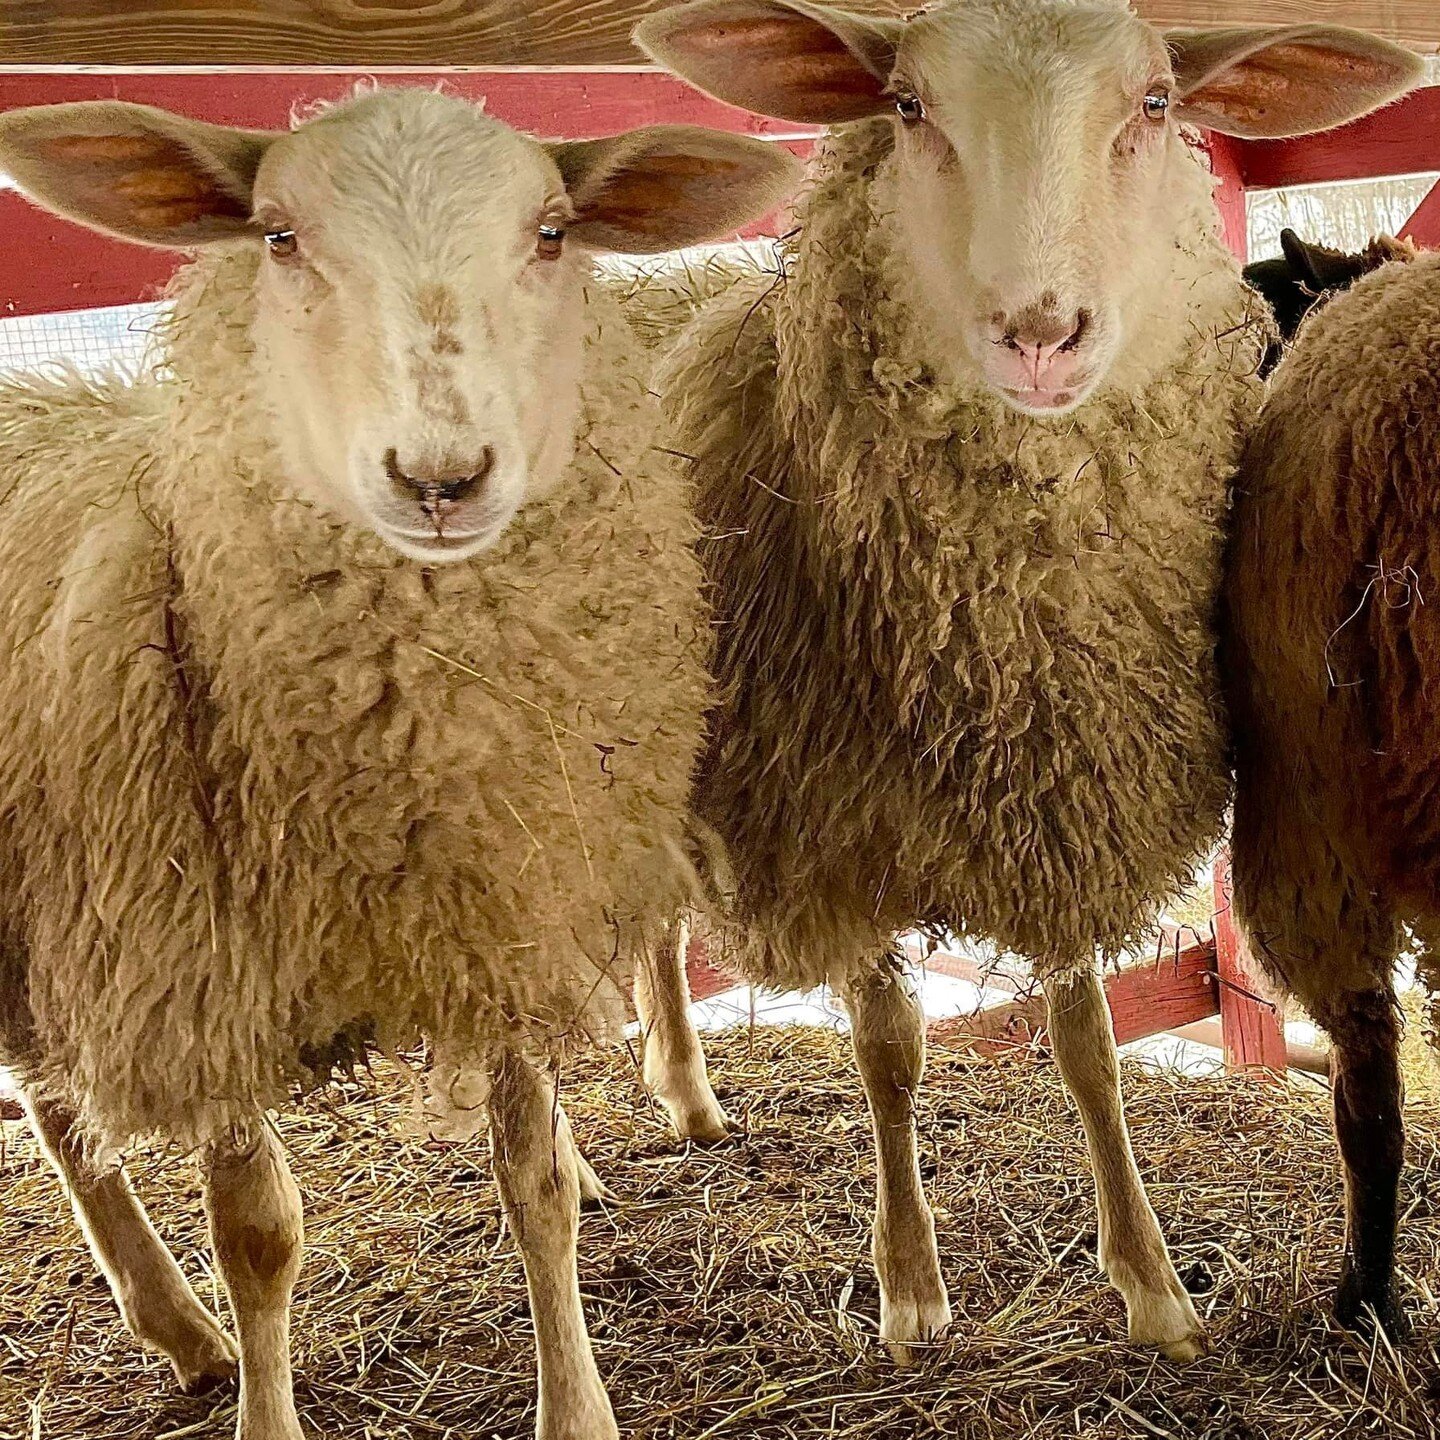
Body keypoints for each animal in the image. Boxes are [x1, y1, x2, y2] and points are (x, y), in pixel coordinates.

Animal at [0, 90, 797, 1440]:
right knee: (62, 1116)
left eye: (551, 232)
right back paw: (183, 1328)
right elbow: (257, 1229)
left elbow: (532, 1182)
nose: (441, 477)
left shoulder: (500, 900)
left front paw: (577, 1402)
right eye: (276, 236)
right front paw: (267, 1412)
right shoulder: (203, 967)